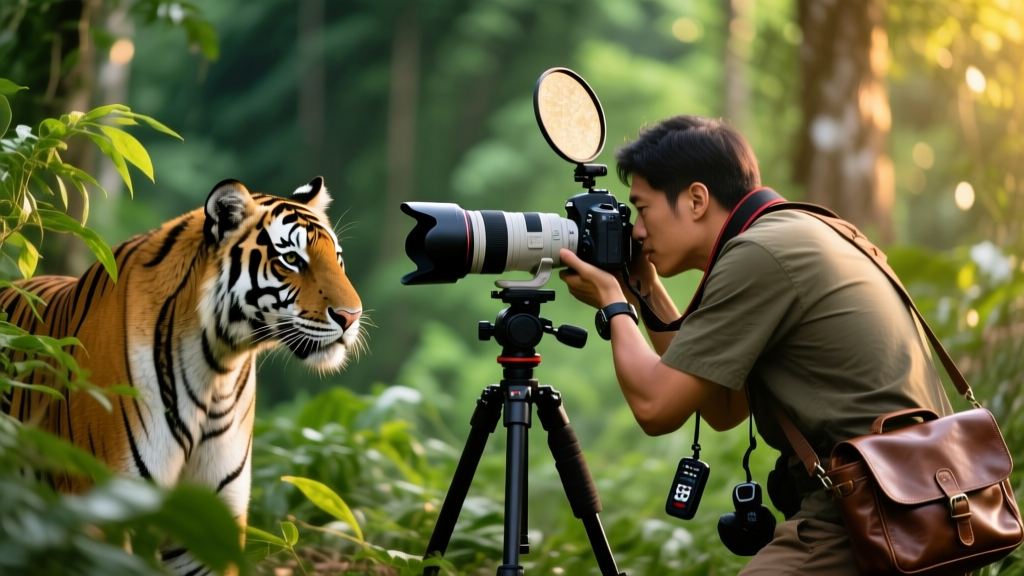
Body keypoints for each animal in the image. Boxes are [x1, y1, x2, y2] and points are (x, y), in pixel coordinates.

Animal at [0, 176, 363, 575]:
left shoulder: (212, 520)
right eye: (292, 259)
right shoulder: (101, 513)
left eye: (338, 259)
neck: (215, 368)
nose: (352, 316)